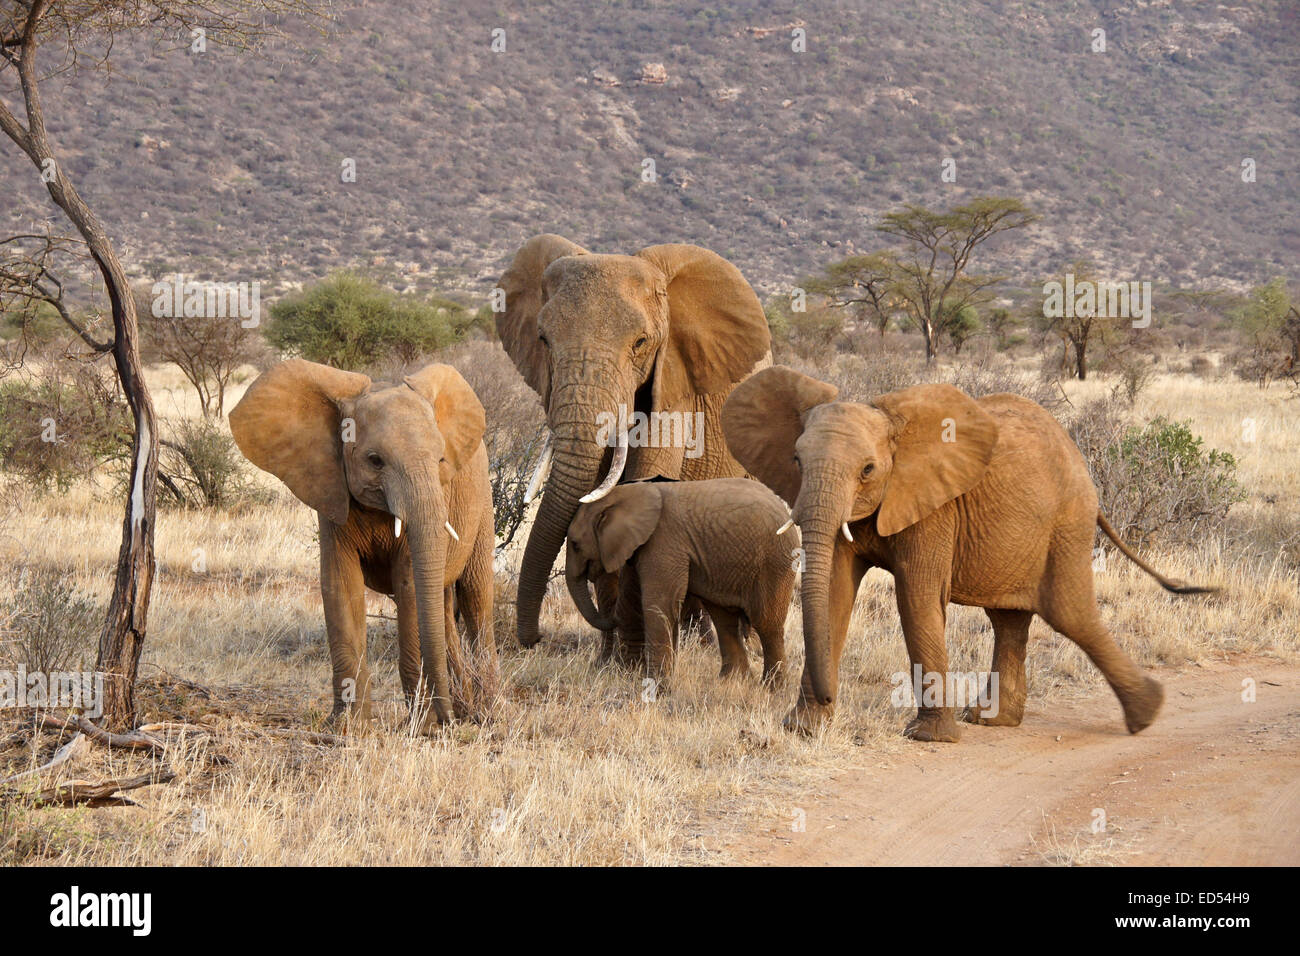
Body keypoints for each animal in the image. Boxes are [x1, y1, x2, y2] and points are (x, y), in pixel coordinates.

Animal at [229, 358, 496, 729]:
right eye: (375, 460)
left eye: (441, 459)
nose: (447, 723)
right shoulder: (330, 490)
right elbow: (341, 585)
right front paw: (349, 727)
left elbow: (410, 586)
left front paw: (422, 727)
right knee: (442, 606)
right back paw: (465, 710)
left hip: (483, 501)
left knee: (475, 596)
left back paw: (486, 715)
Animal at [496, 235, 772, 657]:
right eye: (543, 340)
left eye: (640, 343)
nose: (534, 640)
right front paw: (610, 660)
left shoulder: (673, 387)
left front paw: (630, 657)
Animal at [565, 479, 795, 687]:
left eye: (575, 545)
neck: (628, 493)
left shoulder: (663, 543)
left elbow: (659, 604)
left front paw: (658, 687)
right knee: (724, 620)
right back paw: (730, 682)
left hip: (775, 563)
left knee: (767, 623)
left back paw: (772, 688)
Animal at [722, 365, 1211, 742]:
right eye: (796, 462)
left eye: (868, 470)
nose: (828, 697)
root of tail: (1080, 459)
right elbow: (835, 594)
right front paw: (803, 729)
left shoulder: (935, 506)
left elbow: (917, 597)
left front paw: (928, 737)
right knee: (1009, 620)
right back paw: (991, 720)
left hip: (1066, 522)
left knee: (1071, 614)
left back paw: (1147, 714)